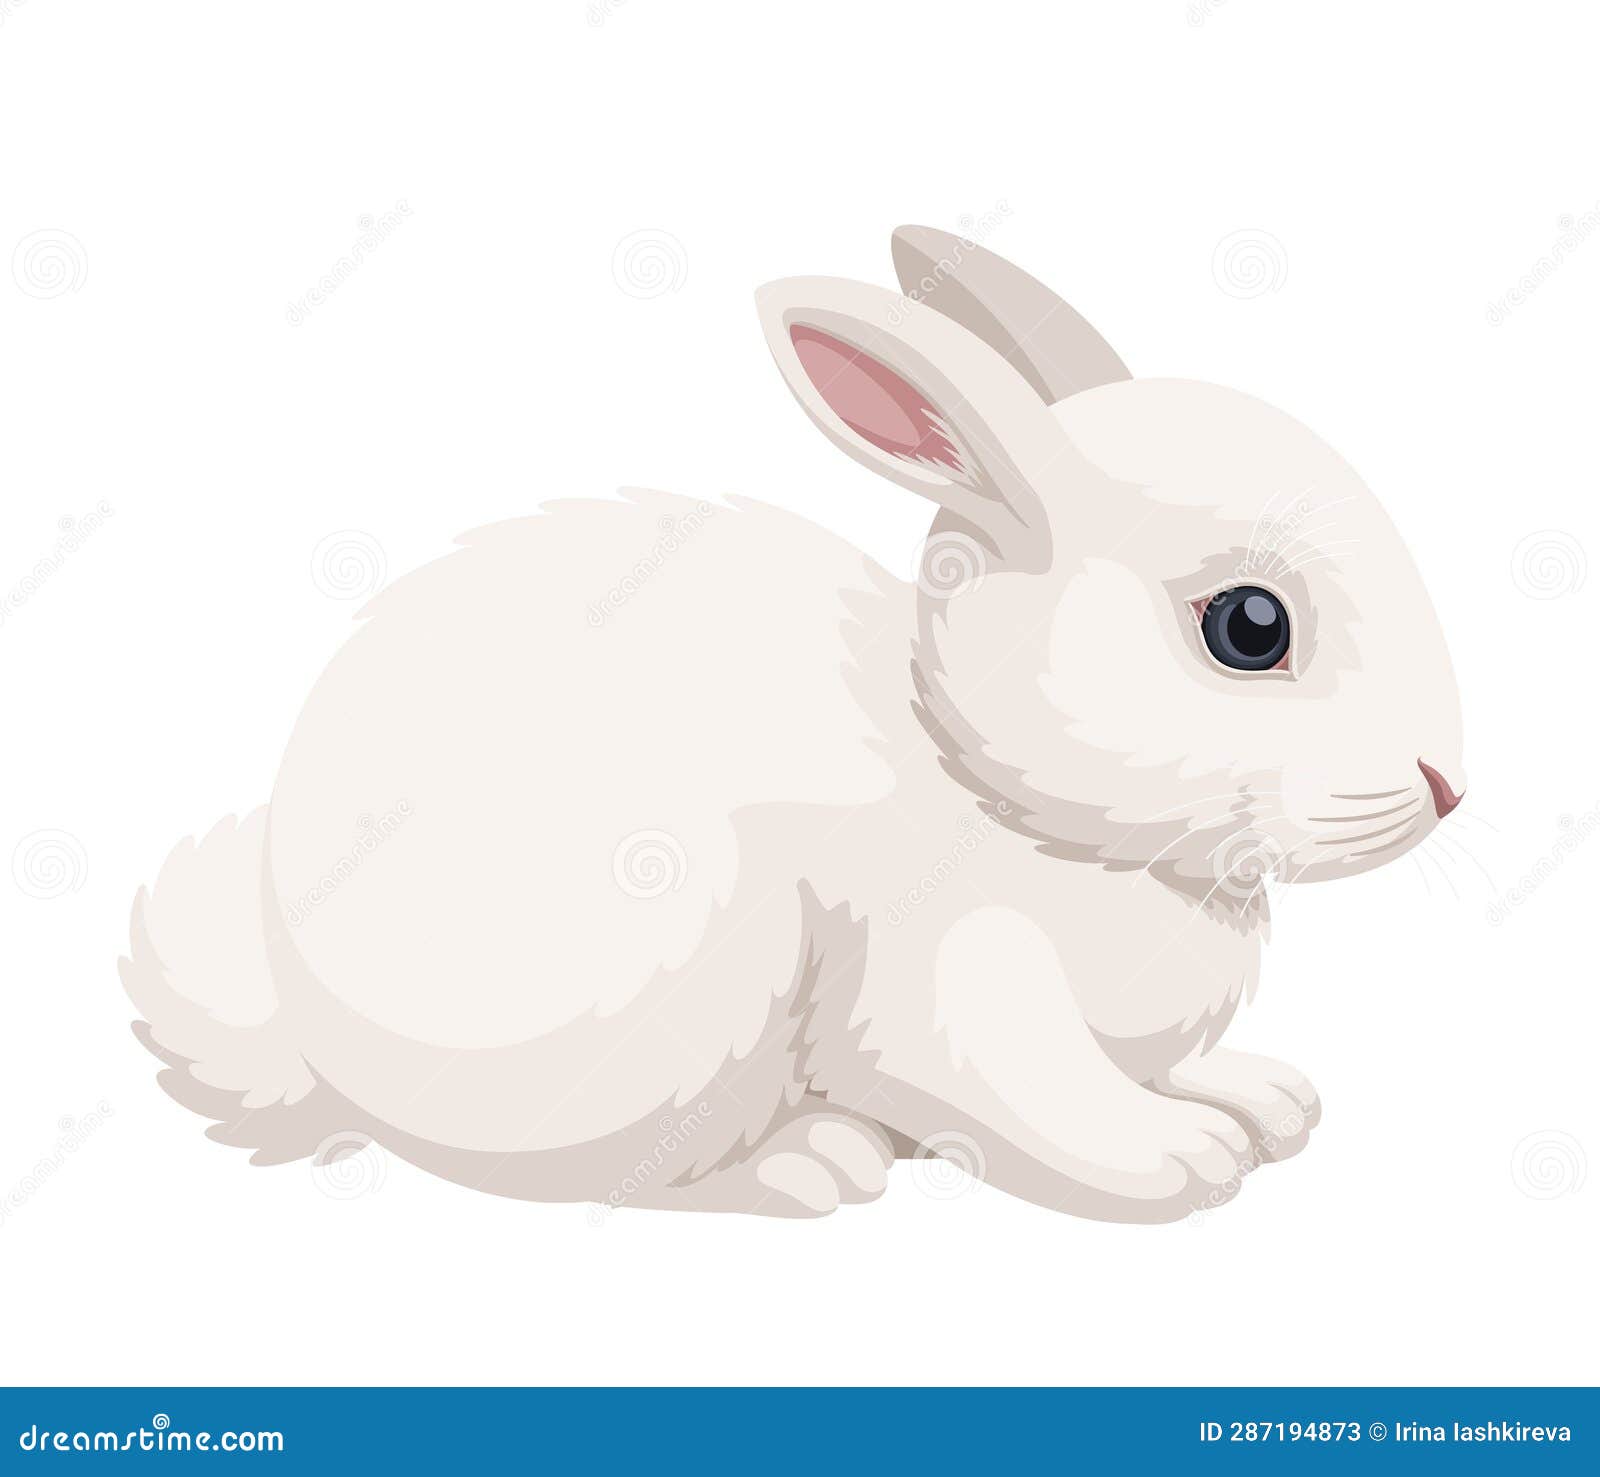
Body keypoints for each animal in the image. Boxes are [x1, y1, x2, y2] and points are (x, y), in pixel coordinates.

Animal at [121, 226, 1464, 1221]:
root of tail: (311, 1036)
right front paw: (1180, 1156)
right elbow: (1025, 1092)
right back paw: (811, 1162)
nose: (1447, 784)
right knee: (613, 1181)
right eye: (1248, 627)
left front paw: (1267, 1100)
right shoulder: (950, 988)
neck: (1010, 793)